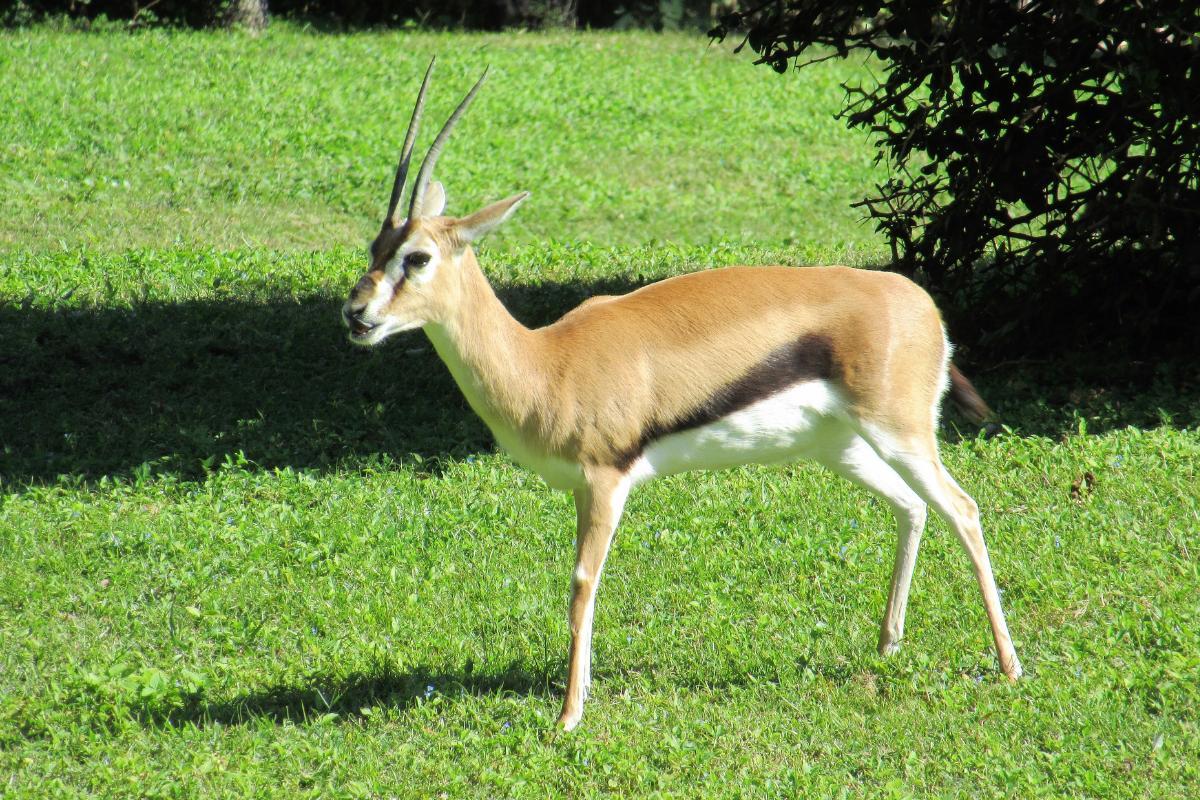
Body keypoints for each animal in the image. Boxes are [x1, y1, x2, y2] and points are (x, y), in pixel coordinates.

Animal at [342, 60, 1022, 731]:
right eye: (375, 248)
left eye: (417, 258)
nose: (355, 314)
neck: (547, 362)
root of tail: (922, 306)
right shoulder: (583, 491)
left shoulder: (605, 481)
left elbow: (582, 584)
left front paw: (569, 716)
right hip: (840, 448)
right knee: (911, 508)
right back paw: (887, 646)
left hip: (900, 433)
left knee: (962, 509)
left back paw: (1009, 667)